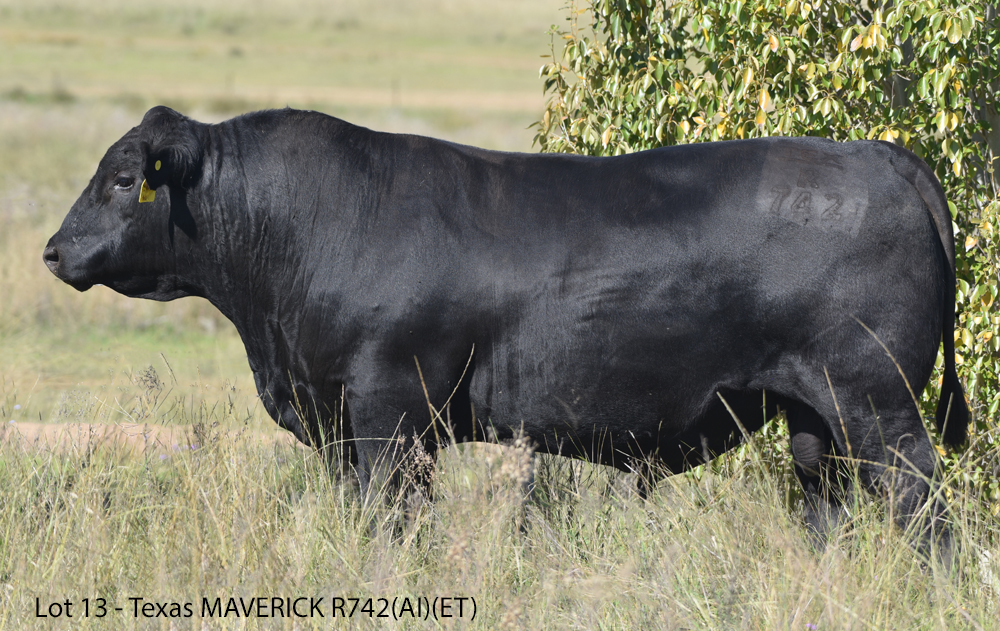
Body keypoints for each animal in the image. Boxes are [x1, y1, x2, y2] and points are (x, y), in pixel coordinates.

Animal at [45, 106, 968, 549]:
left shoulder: (390, 414)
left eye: (123, 178)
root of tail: (872, 152)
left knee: (921, 499)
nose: (54, 250)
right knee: (831, 504)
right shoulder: (340, 423)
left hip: (876, 398)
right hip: (816, 417)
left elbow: (395, 522)